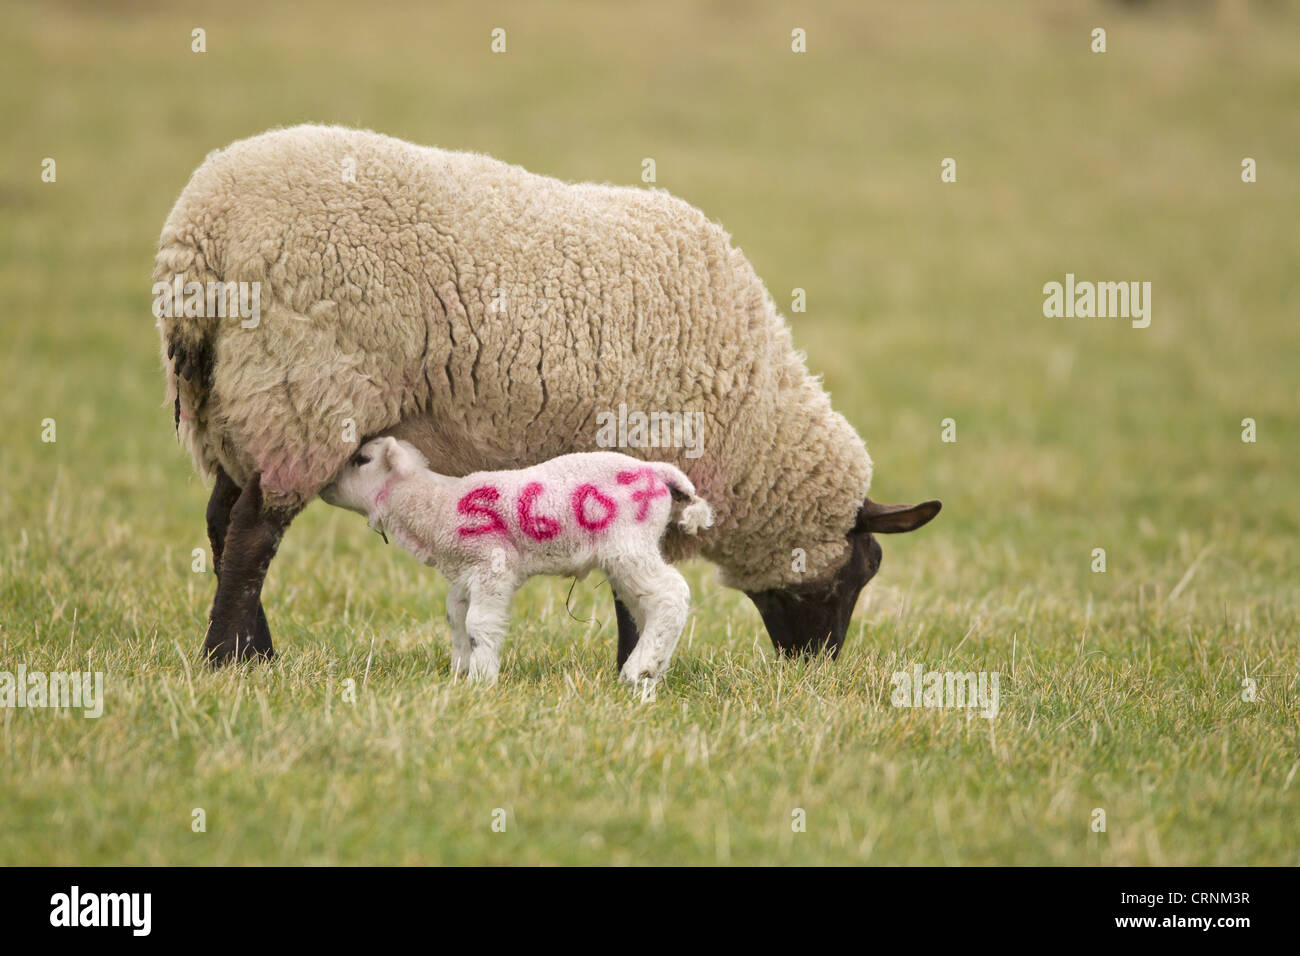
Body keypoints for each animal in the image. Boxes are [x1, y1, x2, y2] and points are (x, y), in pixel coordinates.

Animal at [322, 436, 713, 684]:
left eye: (361, 460)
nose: (325, 486)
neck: (434, 504)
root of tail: (657, 472)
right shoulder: (465, 572)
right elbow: (455, 616)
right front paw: (460, 670)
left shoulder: (492, 563)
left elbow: (478, 623)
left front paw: (481, 678)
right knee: (649, 606)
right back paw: (651, 671)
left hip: (628, 544)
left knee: (672, 593)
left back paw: (639, 670)